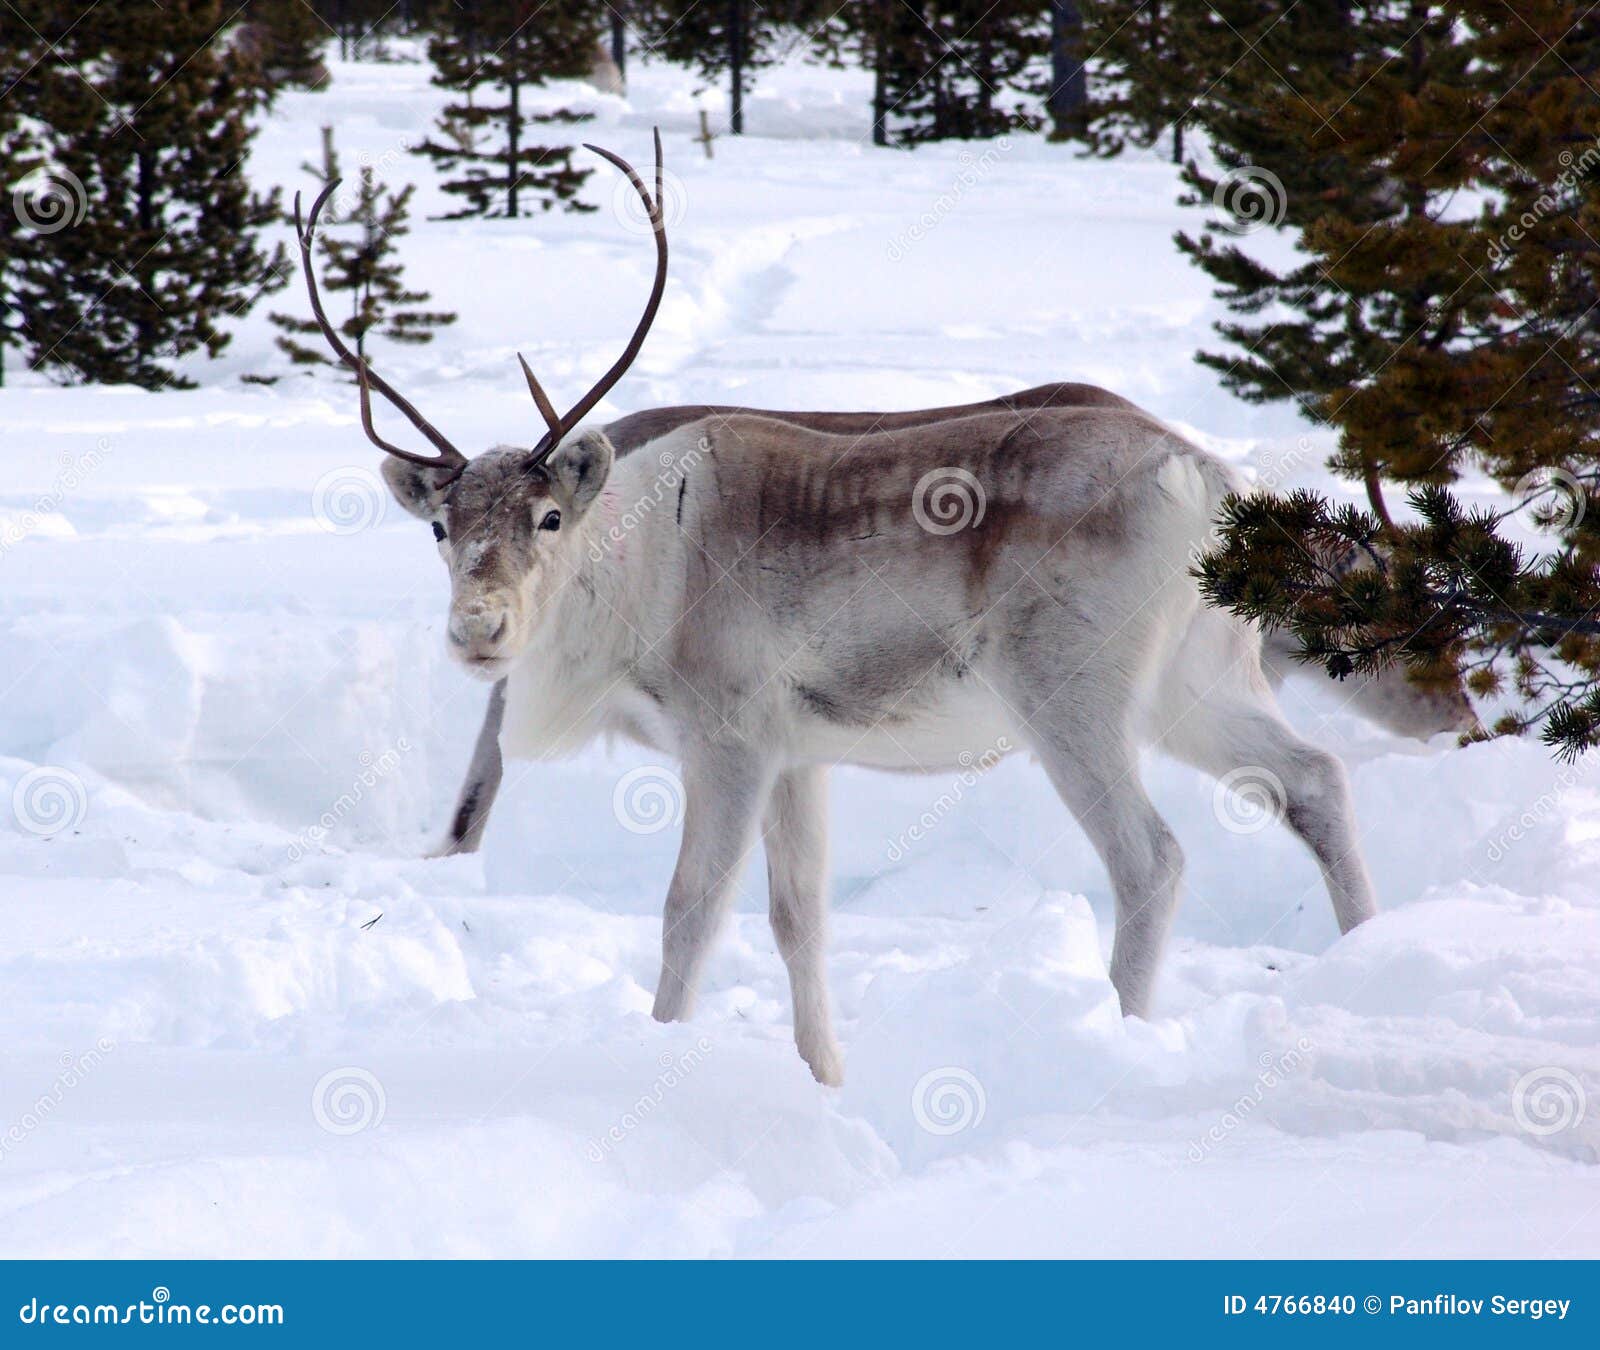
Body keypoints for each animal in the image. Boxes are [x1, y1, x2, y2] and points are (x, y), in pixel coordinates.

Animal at [296, 133, 1387, 1086]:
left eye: (550, 515)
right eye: (441, 526)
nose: (477, 629)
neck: (635, 574)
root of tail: (1212, 483)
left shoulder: (729, 738)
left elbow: (692, 909)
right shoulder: (798, 753)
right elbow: (798, 920)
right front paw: (824, 1076)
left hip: (1072, 694)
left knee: (1151, 858)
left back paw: (1117, 1038)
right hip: (1193, 684)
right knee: (1314, 779)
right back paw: (1377, 957)